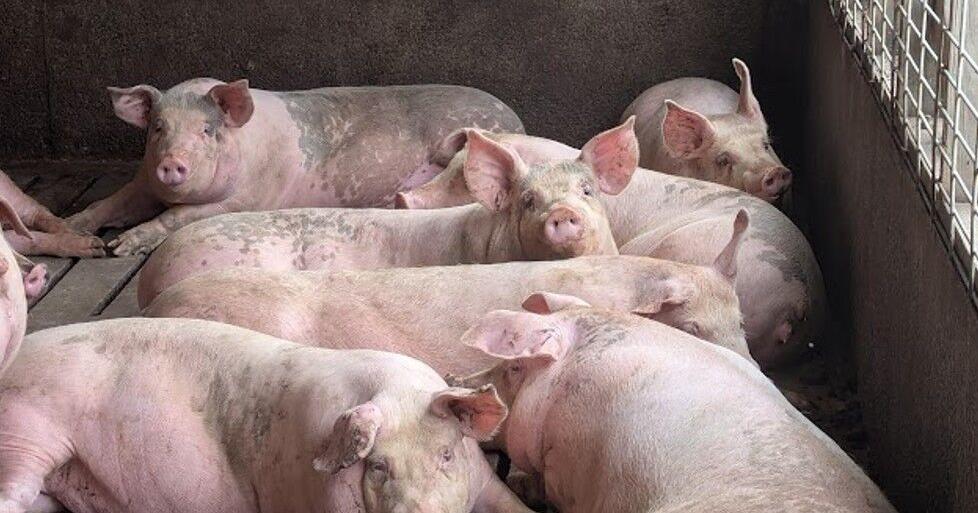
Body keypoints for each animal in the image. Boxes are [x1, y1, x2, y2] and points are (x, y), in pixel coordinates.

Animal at [64, 79, 524, 256]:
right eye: (159, 127)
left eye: (207, 130)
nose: (172, 164)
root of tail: (514, 116)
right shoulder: (143, 181)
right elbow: (109, 203)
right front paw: (81, 234)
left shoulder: (249, 198)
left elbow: (177, 216)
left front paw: (120, 247)